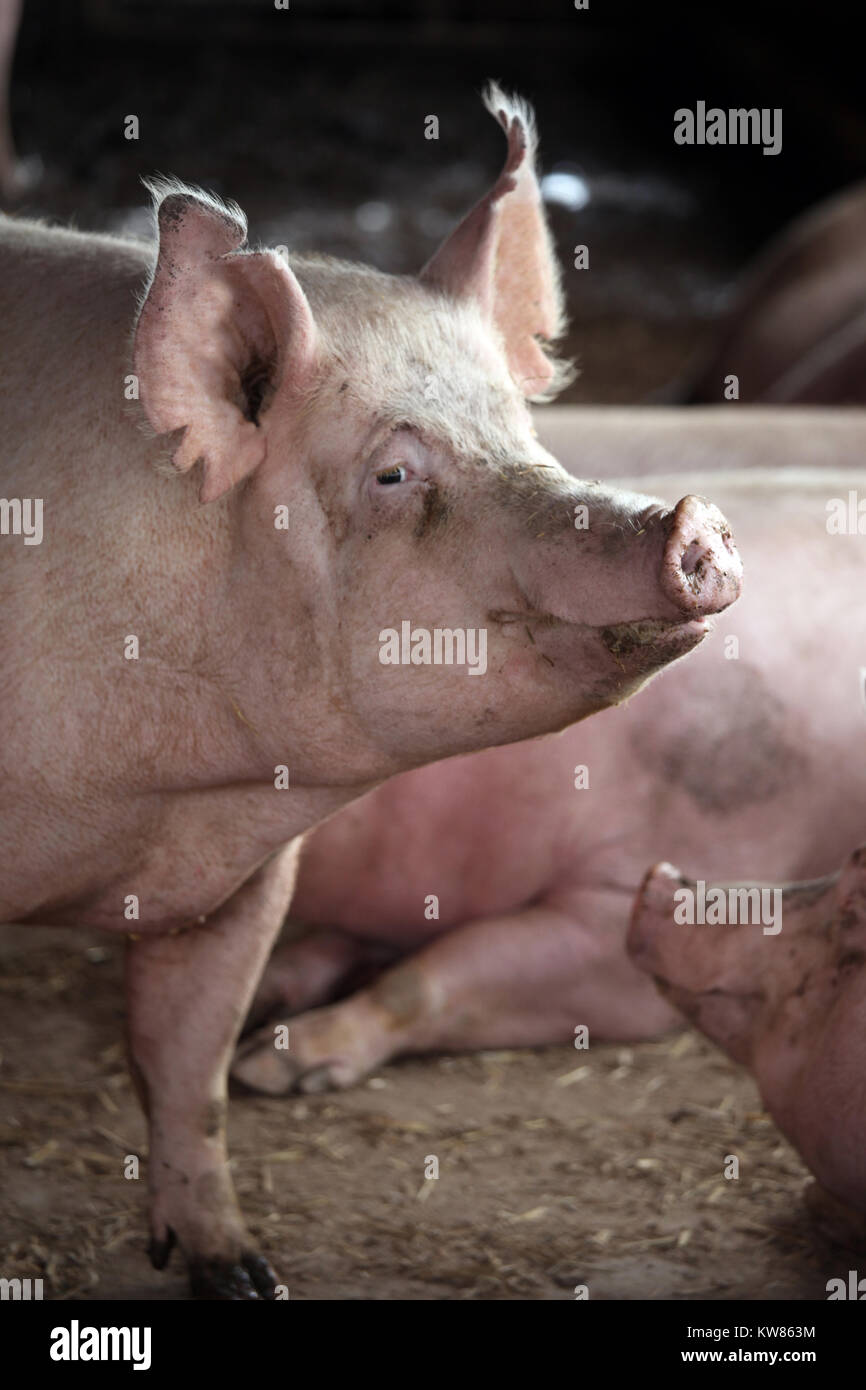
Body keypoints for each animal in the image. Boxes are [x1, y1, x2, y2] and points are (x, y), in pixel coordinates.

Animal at [0, 86, 741, 1298]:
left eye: (524, 435)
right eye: (394, 473)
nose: (690, 522)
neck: (160, 804)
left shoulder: (244, 881)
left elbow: (187, 1064)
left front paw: (244, 1274)